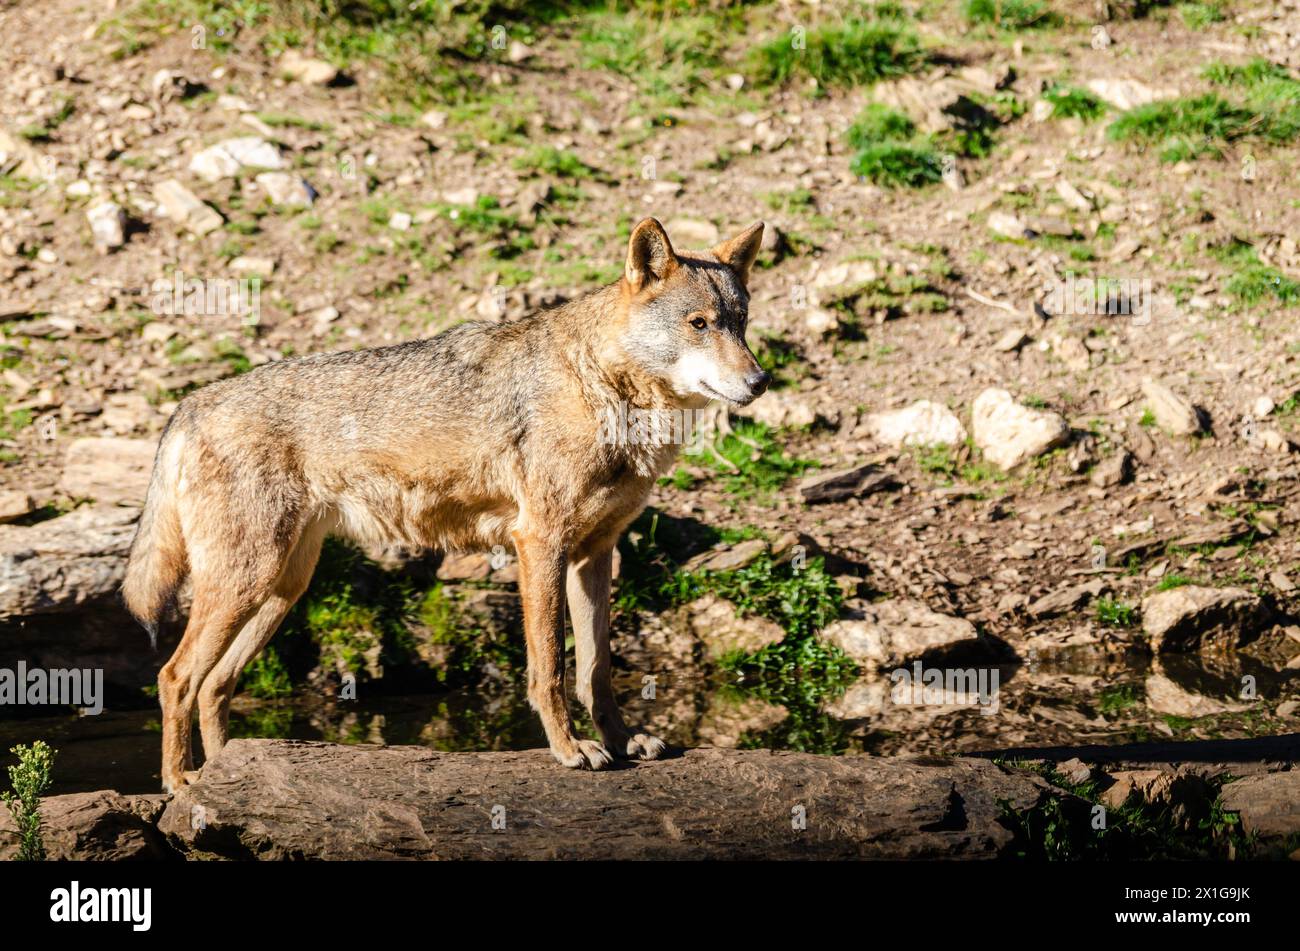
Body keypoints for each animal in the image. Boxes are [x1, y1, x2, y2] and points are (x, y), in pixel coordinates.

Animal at [123, 217, 771, 792]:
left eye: (740, 323)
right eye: (698, 324)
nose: (760, 381)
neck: (601, 386)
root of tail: (189, 404)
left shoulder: (595, 554)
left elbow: (597, 671)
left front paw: (620, 741)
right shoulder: (540, 545)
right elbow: (551, 668)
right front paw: (570, 749)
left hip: (281, 589)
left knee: (215, 685)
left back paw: (224, 778)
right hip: (246, 583)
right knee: (175, 677)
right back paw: (183, 783)